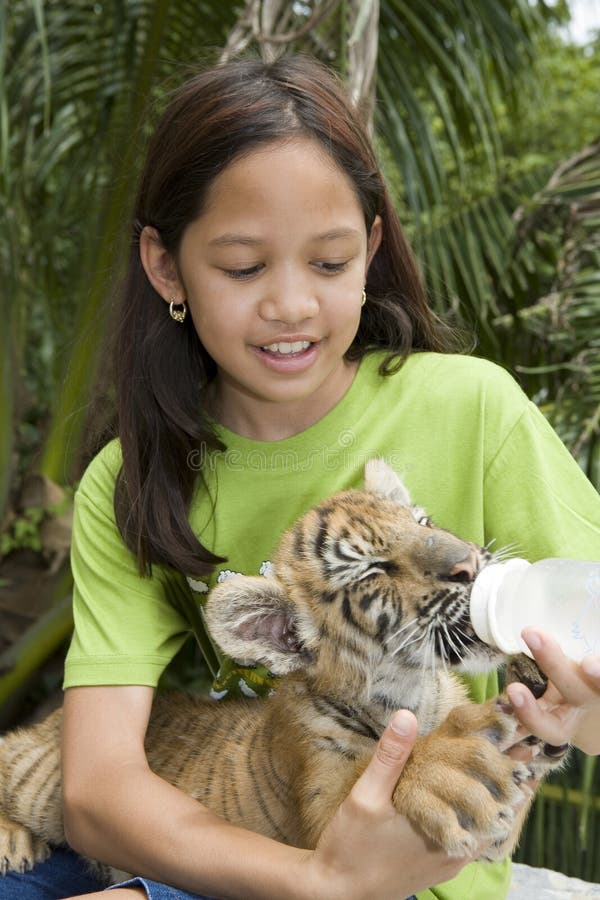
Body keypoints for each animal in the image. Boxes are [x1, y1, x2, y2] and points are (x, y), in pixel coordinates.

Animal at [0, 459, 568, 884]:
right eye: (374, 571)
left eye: (423, 524)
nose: (469, 564)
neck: (414, 693)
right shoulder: (332, 831)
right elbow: (386, 775)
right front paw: (447, 764)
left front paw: (539, 684)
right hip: (47, 783)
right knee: (12, 753)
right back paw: (14, 839)